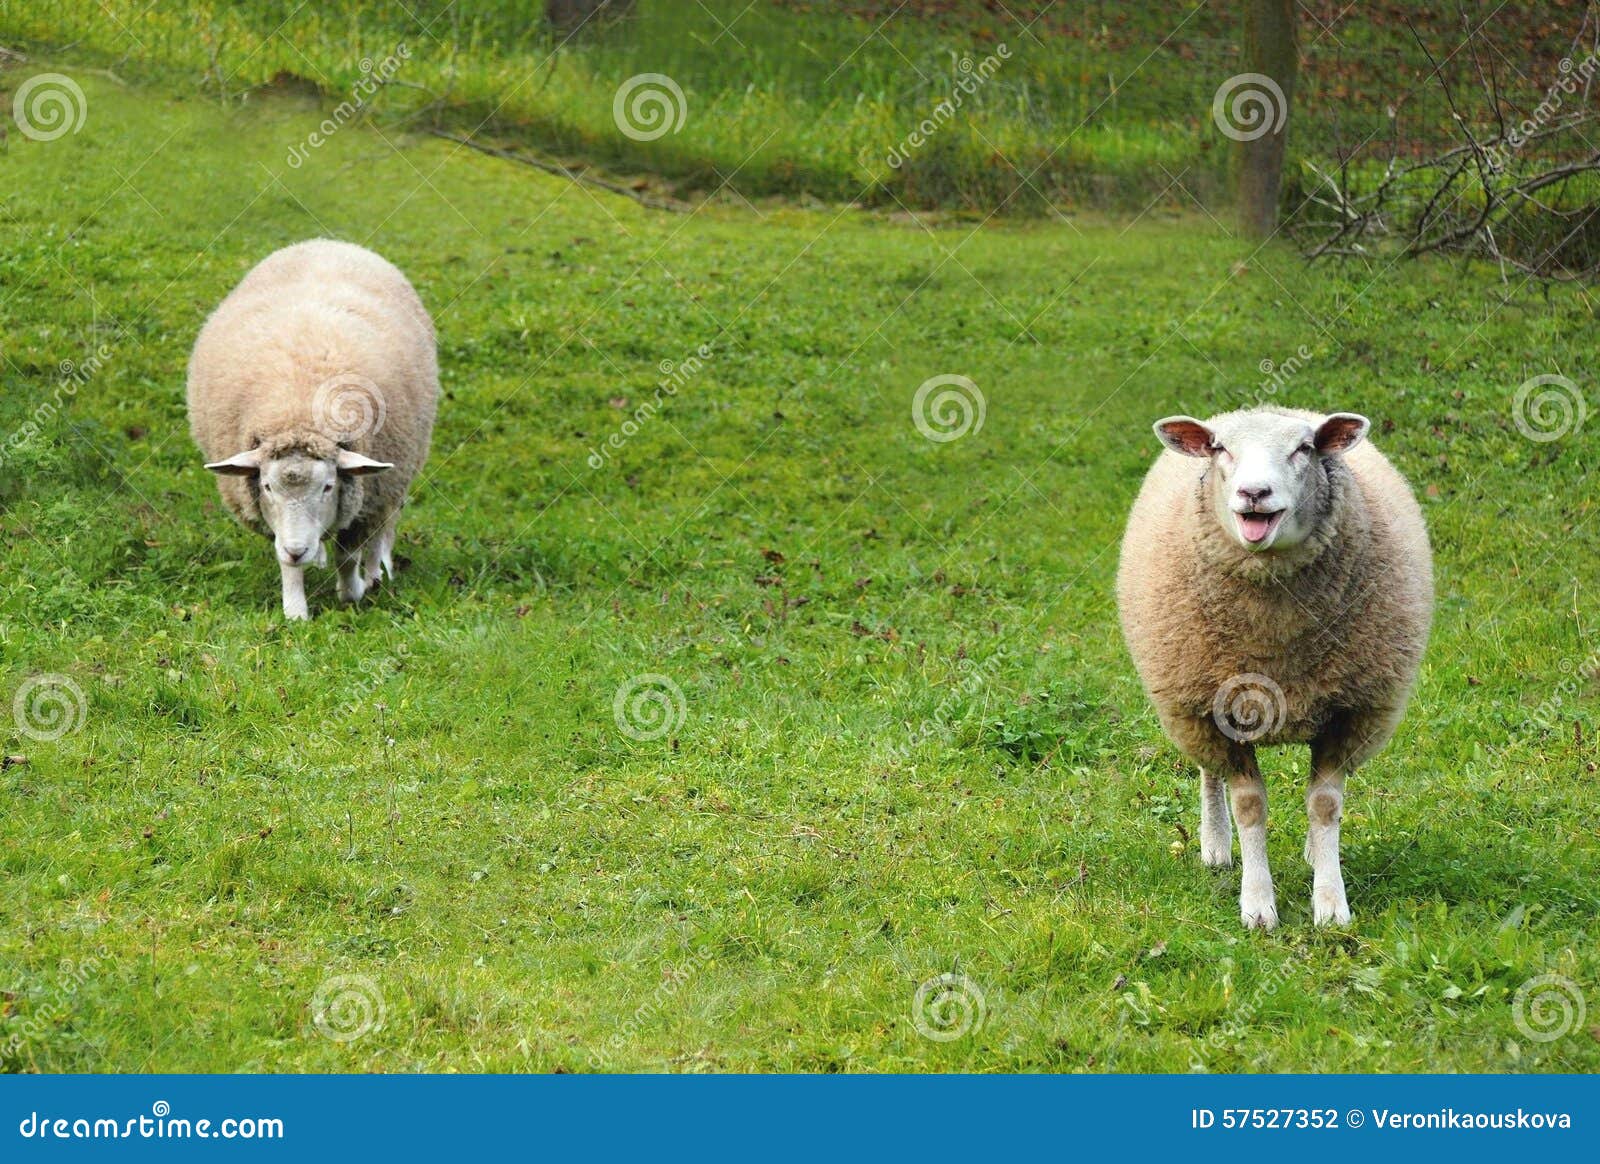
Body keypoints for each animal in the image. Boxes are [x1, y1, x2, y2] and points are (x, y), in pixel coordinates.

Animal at [187, 239, 438, 620]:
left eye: (328, 487)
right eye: (266, 486)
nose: (298, 549)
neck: (300, 409)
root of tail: (327, 242)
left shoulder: (365, 495)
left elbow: (348, 556)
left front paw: (352, 592)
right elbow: (287, 564)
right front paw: (295, 611)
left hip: (393, 477)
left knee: (383, 527)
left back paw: (377, 572)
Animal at [1116, 406, 1432, 929]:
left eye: (1304, 449)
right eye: (1220, 449)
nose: (1254, 493)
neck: (1274, 638)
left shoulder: (1349, 712)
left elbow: (1325, 805)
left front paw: (1330, 902)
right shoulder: (1213, 710)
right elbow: (1249, 806)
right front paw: (1258, 904)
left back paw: (1312, 851)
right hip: (1192, 701)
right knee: (1209, 774)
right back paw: (1216, 846)